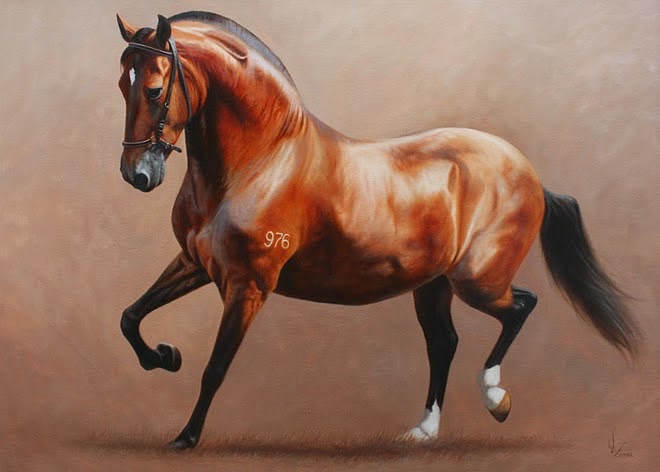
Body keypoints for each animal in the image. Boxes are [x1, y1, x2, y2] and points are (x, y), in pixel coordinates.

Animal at [116, 12, 640, 449]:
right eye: (123, 84)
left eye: (155, 90)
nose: (137, 175)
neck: (261, 160)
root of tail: (529, 174)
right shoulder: (195, 263)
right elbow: (130, 316)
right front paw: (163, 357)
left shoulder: (248, 284)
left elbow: (215, 367)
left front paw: (185, 437)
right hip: (432, 285)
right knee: (444, 343)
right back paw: (424, 430)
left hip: (479, 281)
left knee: (521, 307)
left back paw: (496, 398)